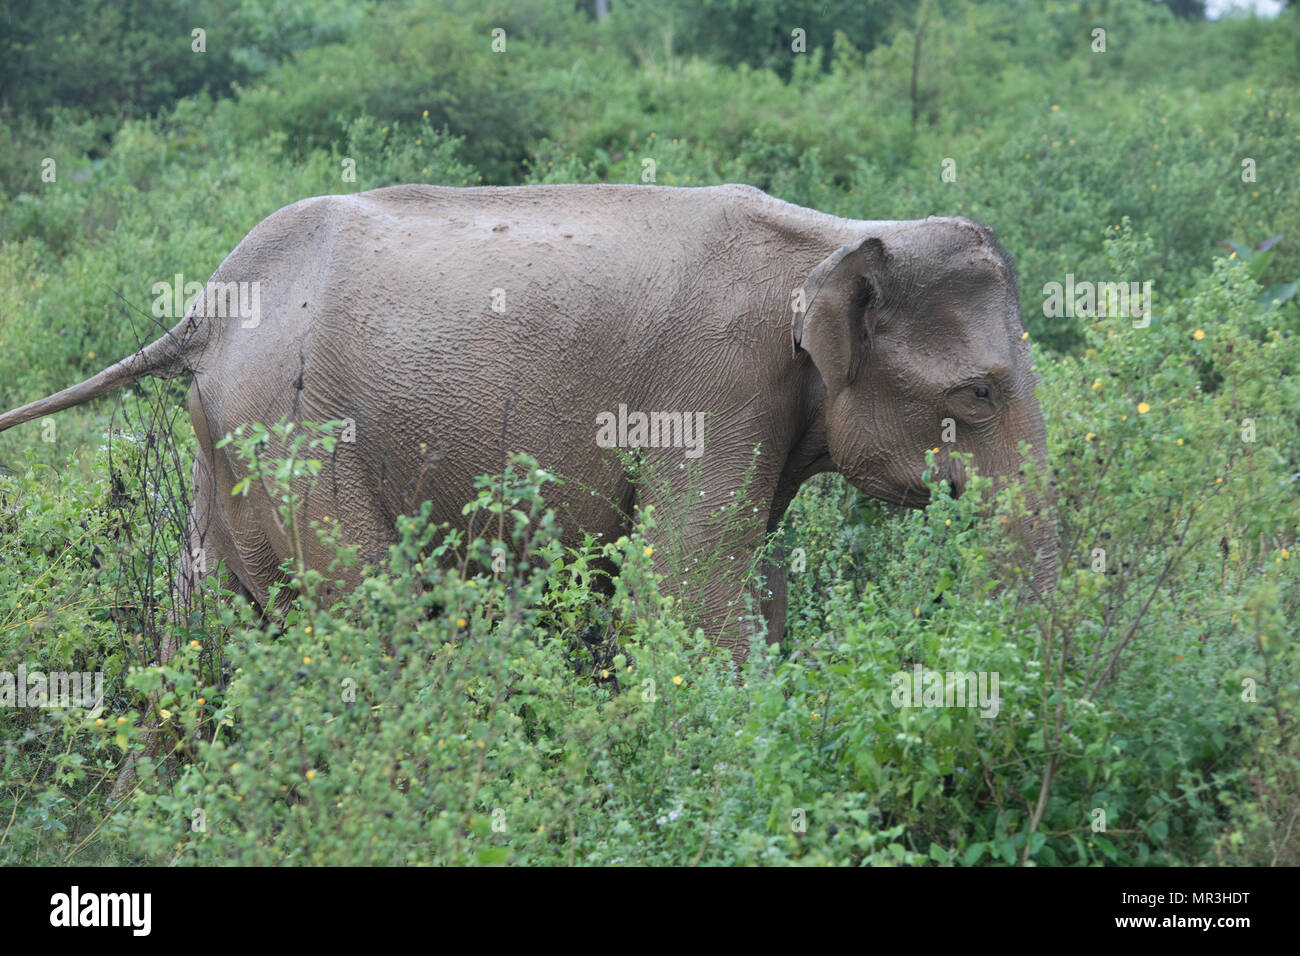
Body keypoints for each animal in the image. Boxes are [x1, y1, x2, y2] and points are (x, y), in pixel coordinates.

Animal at [0, 183, 1057, 663]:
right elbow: (692, 582)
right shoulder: (712, 386)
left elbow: (747, 572)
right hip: (302, 435)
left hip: (233, 450)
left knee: (199, 624)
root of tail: (208, 308)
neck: (834, 237)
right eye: (979, 394)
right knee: (368, 614)